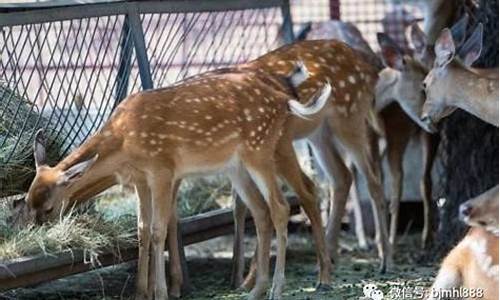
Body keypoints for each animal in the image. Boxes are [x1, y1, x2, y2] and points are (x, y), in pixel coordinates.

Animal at [26, 64, 332, 298]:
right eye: (27, 201)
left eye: (49, 208)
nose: (38, 234)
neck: (124, 141)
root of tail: (284, 98)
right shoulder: (141, 179)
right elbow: (142, 229)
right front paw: (141, 292)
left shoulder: (162, 169)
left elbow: (159, 229)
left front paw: (161, 292)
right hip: (238, 165)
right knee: (261, 211)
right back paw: (256, 289)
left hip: (261, 150)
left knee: (283, 205)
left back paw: (286, 287)